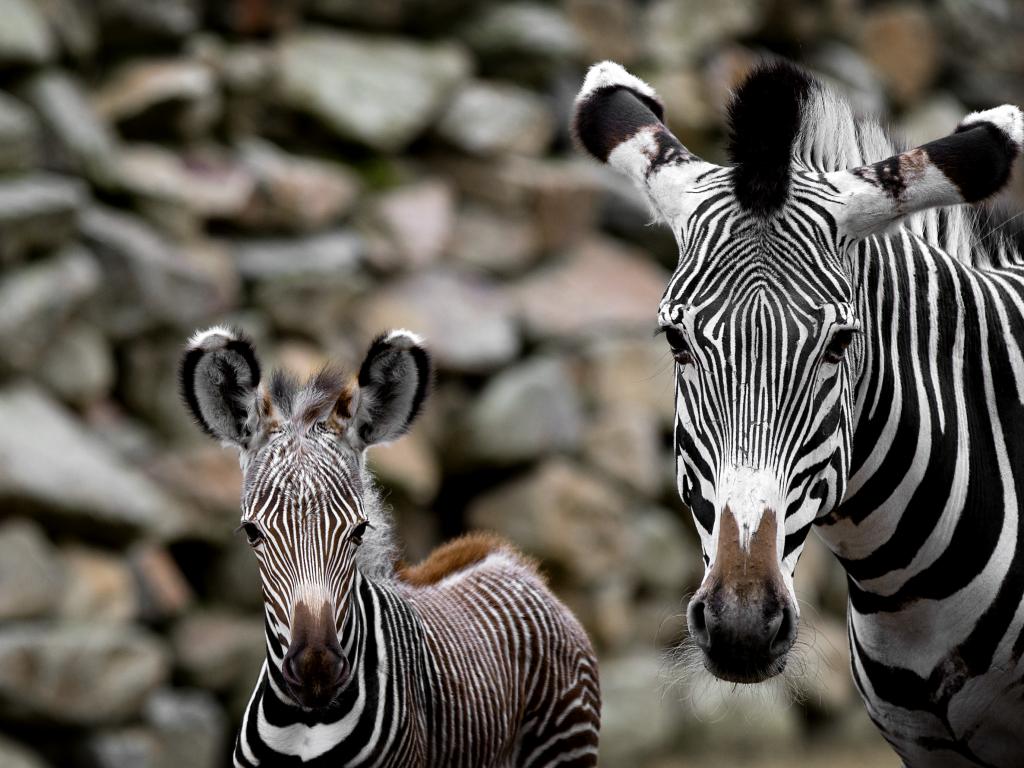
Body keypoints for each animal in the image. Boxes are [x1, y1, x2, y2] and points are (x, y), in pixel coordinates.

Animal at [178, 326, 601, 767]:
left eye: (359, 531)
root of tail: (511, 564)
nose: (316, 672)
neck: (305, 724)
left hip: (566, 745)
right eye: (252, 532)